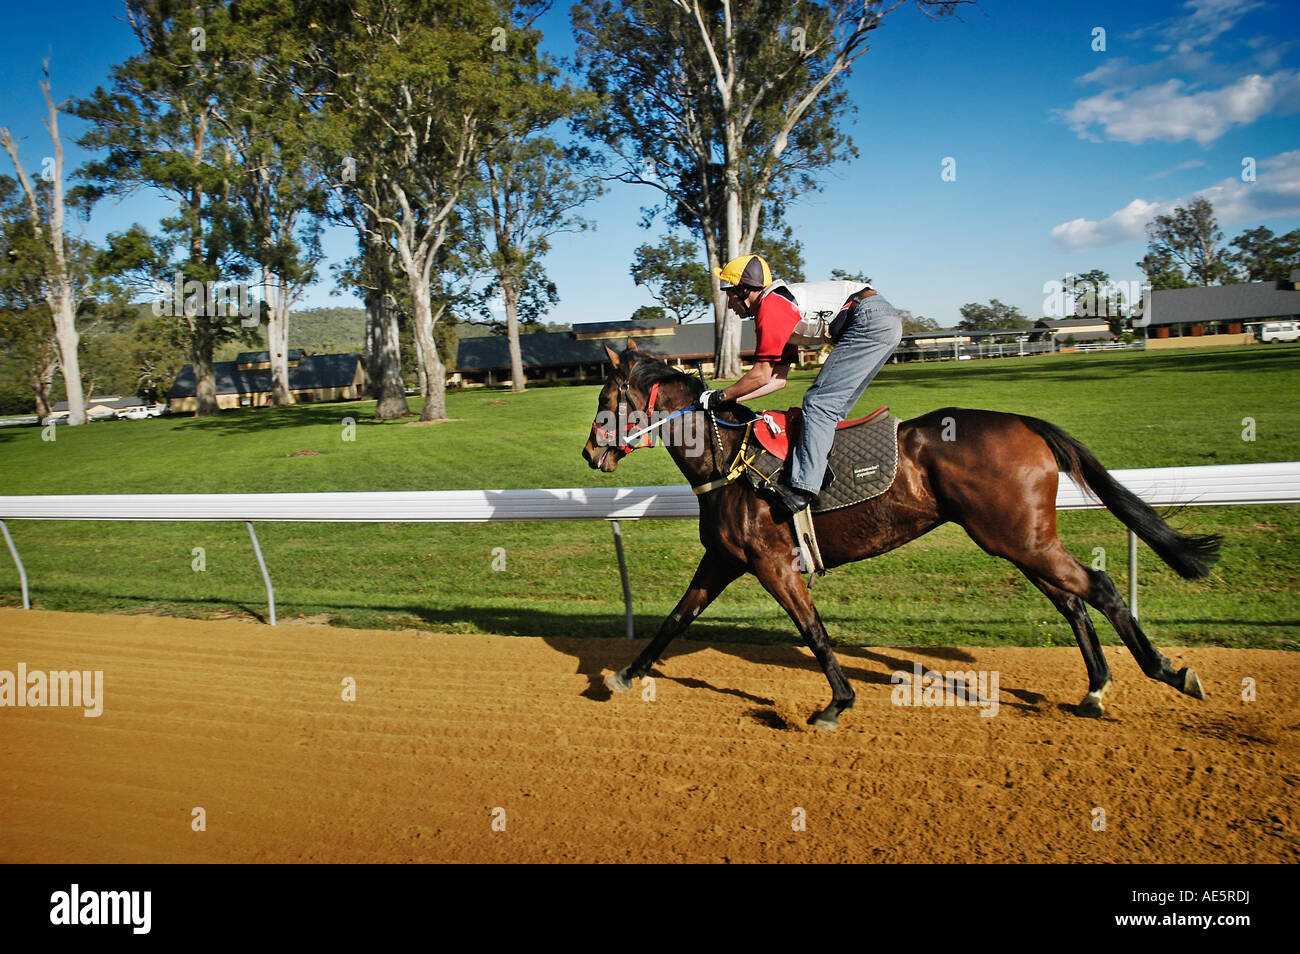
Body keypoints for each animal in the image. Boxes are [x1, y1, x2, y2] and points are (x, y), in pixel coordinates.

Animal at [581, 340, 1221, 729]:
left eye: (608, 398)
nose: (590, 453)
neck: (727, 458)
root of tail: (1023, 421)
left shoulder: (772, 562)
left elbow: (813, 630)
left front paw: (837, 704)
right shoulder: (724, 558)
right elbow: (675, 619)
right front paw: (623, 675)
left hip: (1018, 539)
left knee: (1100, 587)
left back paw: (1167, 671)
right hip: (1019, 540)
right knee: (1072, 600)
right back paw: (1095, 687)